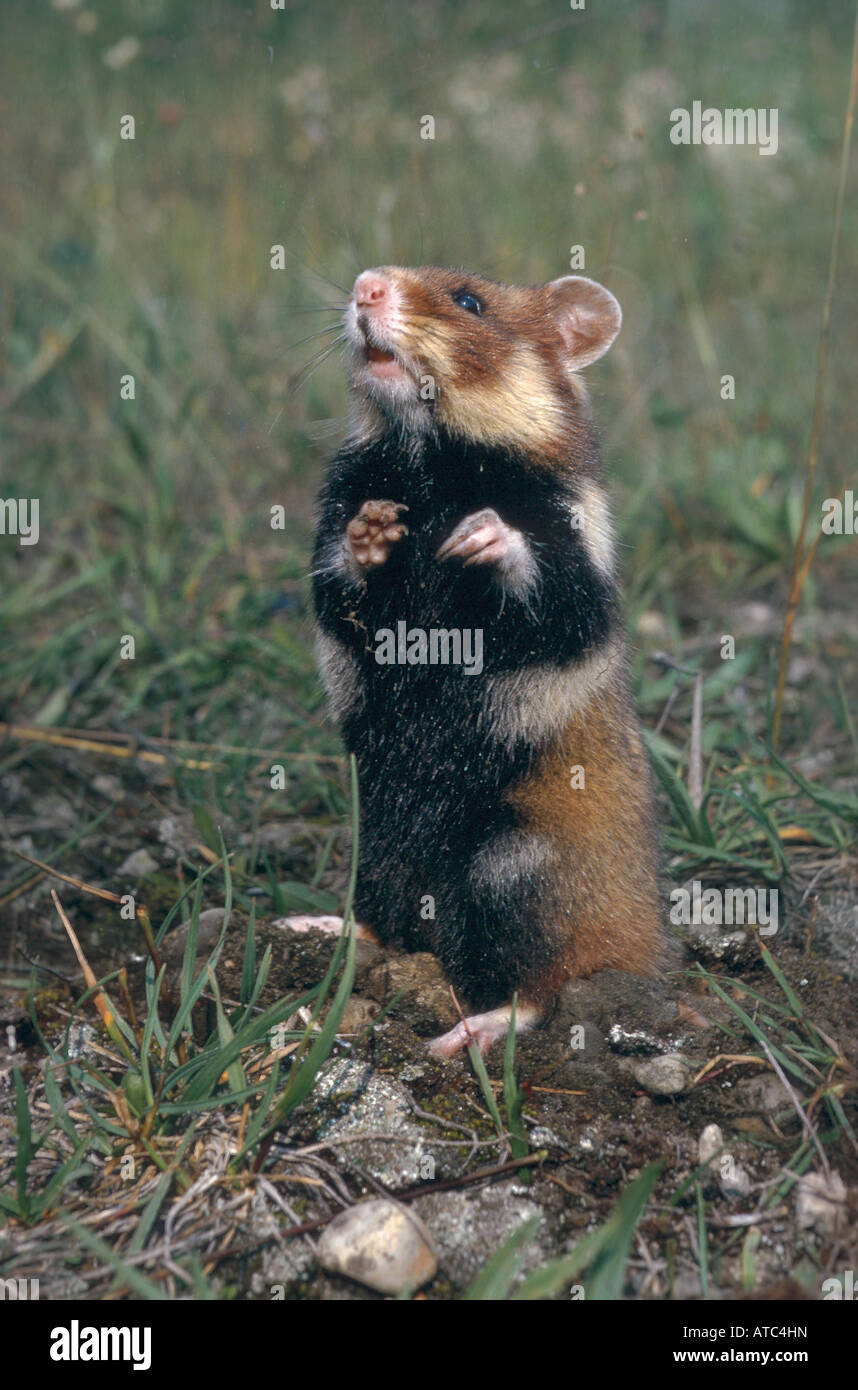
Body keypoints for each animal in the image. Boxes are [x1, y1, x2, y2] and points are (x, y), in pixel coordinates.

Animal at [283, 264, 661, 1058]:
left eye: (469, 303)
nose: (366, 284)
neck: (432, 454)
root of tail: (647, 954)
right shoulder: (339, 511)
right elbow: (343, 576)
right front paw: (374, 532)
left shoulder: (576, 564)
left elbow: (548, 587)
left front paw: (480, 536)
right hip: (381, 837)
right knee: (381, 921)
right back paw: (309, 927)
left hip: (515, 872)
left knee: (540, 990)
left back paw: (456, 1037)